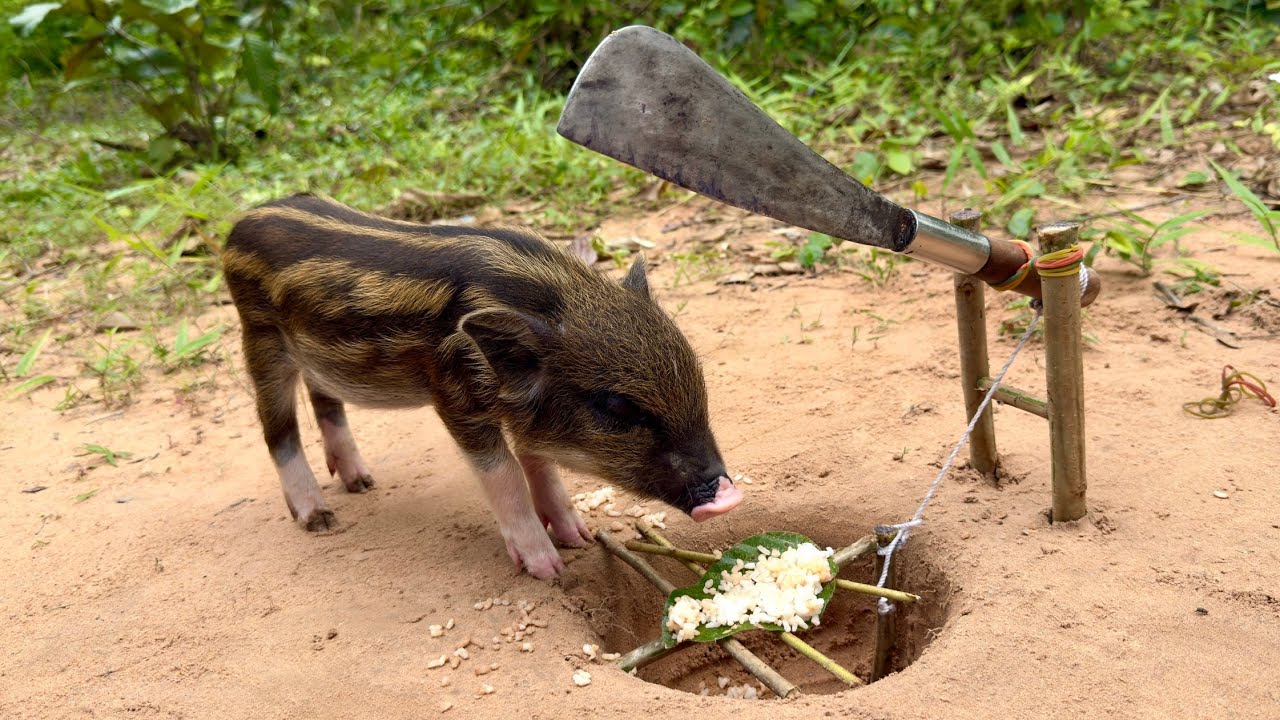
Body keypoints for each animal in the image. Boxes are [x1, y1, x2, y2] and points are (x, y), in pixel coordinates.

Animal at [222, 194, 743, 579]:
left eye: (698, 379)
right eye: (617, 407)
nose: (726, 495)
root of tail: (238, 225)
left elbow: (537, 459)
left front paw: (578, 536)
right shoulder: (454, 395)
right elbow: (505, 471)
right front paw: (547, 569)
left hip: (315, 358)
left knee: (324, 398)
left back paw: (360, 482)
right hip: (261, 341)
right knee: (278, 430)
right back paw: (320, 519)